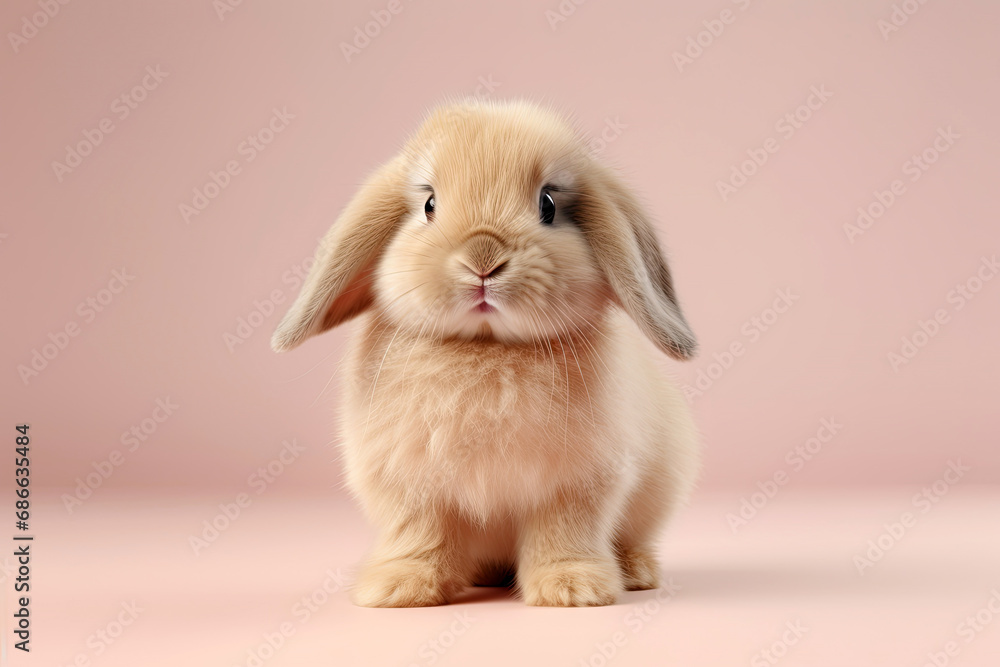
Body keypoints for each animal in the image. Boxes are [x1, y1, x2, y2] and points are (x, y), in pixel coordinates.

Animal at [271, 99, 699, 607]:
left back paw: (634, 571)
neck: (486, 347)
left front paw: (573, 588)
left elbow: (564, 533)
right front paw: (398, 588)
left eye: (548, 204)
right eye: (429, 204)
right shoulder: (407, 486)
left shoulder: (578, 485)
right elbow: (417, 532)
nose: (483, 259)